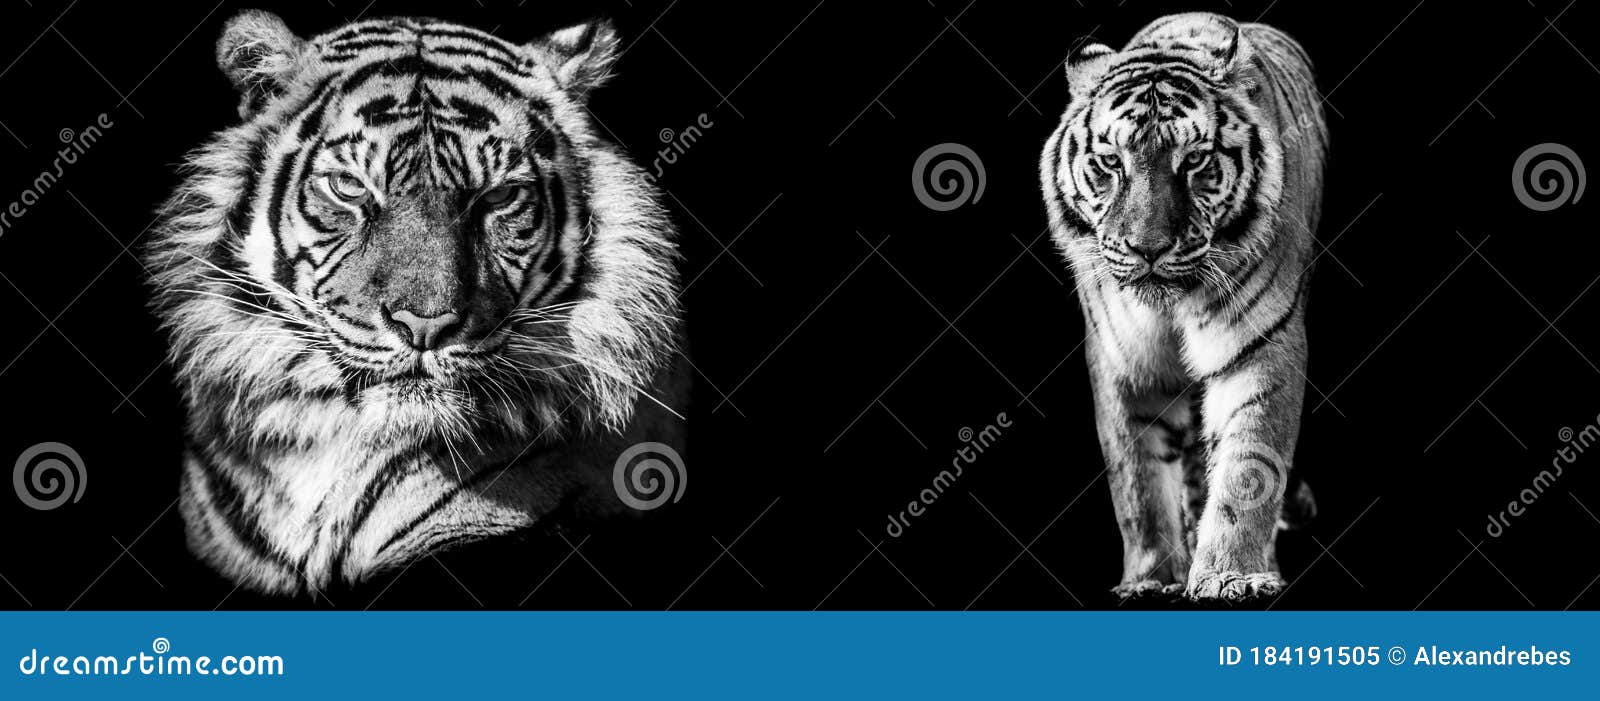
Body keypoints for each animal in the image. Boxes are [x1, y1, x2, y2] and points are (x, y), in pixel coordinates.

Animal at [1038, 13, 1327, 603]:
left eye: (1193, 160)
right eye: (1111, 162)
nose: (1149, 248)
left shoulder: (1262, 348)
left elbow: (1248, 467)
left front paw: (1231, 575)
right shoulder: (1123, 363)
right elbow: (1139, 483)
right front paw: (1151, 578)